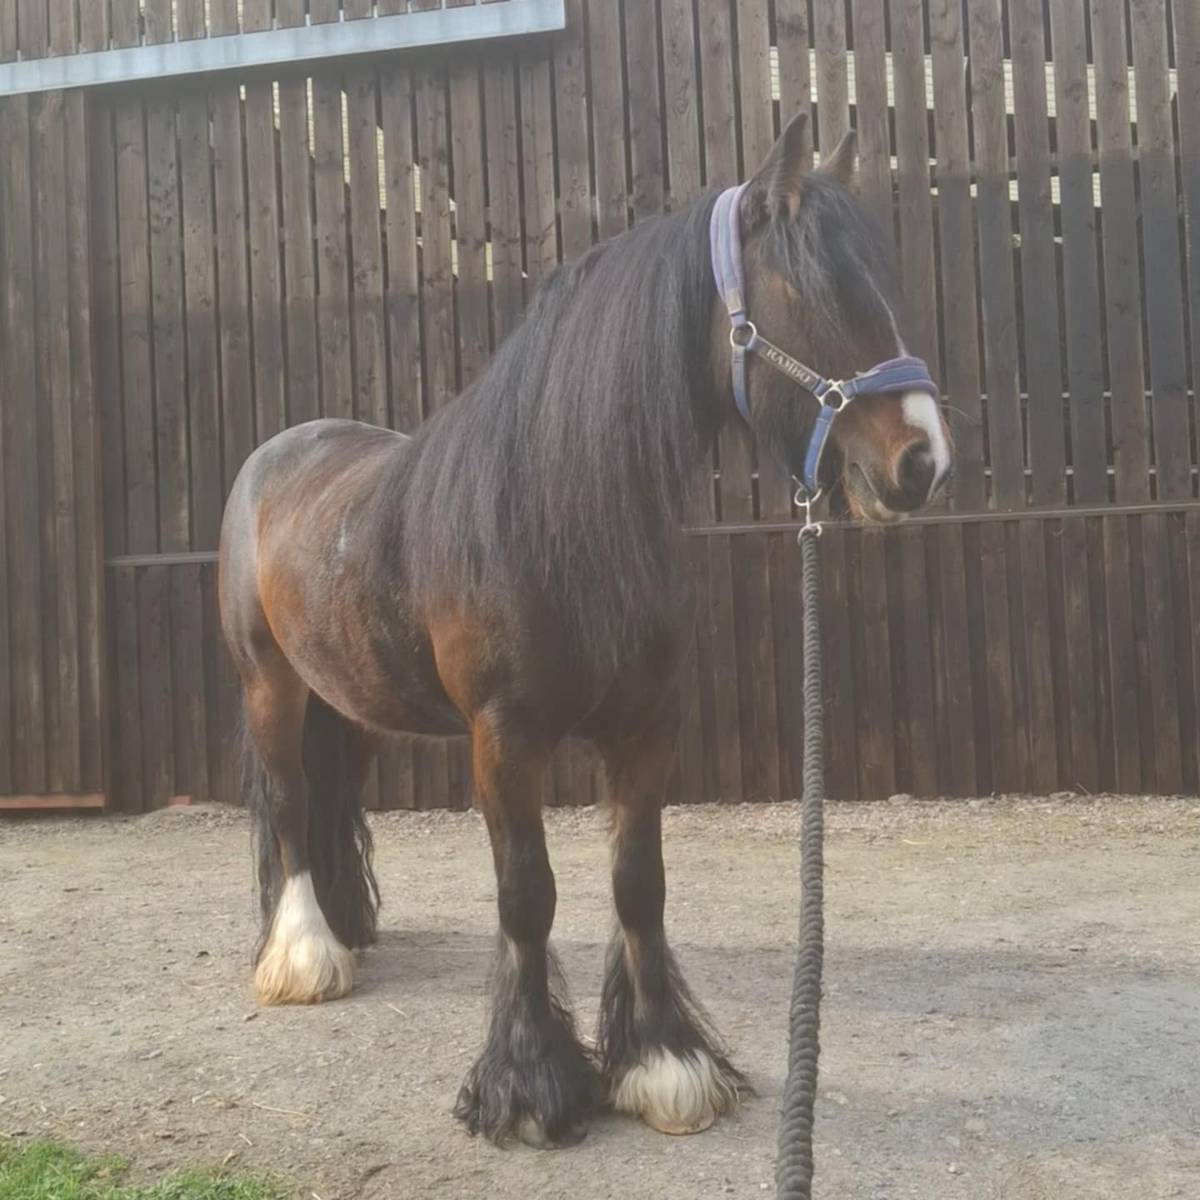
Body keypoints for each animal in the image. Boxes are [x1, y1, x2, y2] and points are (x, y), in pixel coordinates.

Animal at [218, 111, 954, 1149]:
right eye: (812, 290)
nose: (923, 461)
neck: (554, 510)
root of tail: (275, 457)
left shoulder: (646, 727)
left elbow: (638, 882)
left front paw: (663, 1064)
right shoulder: (503, 737)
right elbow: (528, 896)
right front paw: (530, 1085)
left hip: (349, 705)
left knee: (327, 800)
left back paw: (346, 930)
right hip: (271, 689)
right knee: (287, 804)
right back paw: (306, 956)